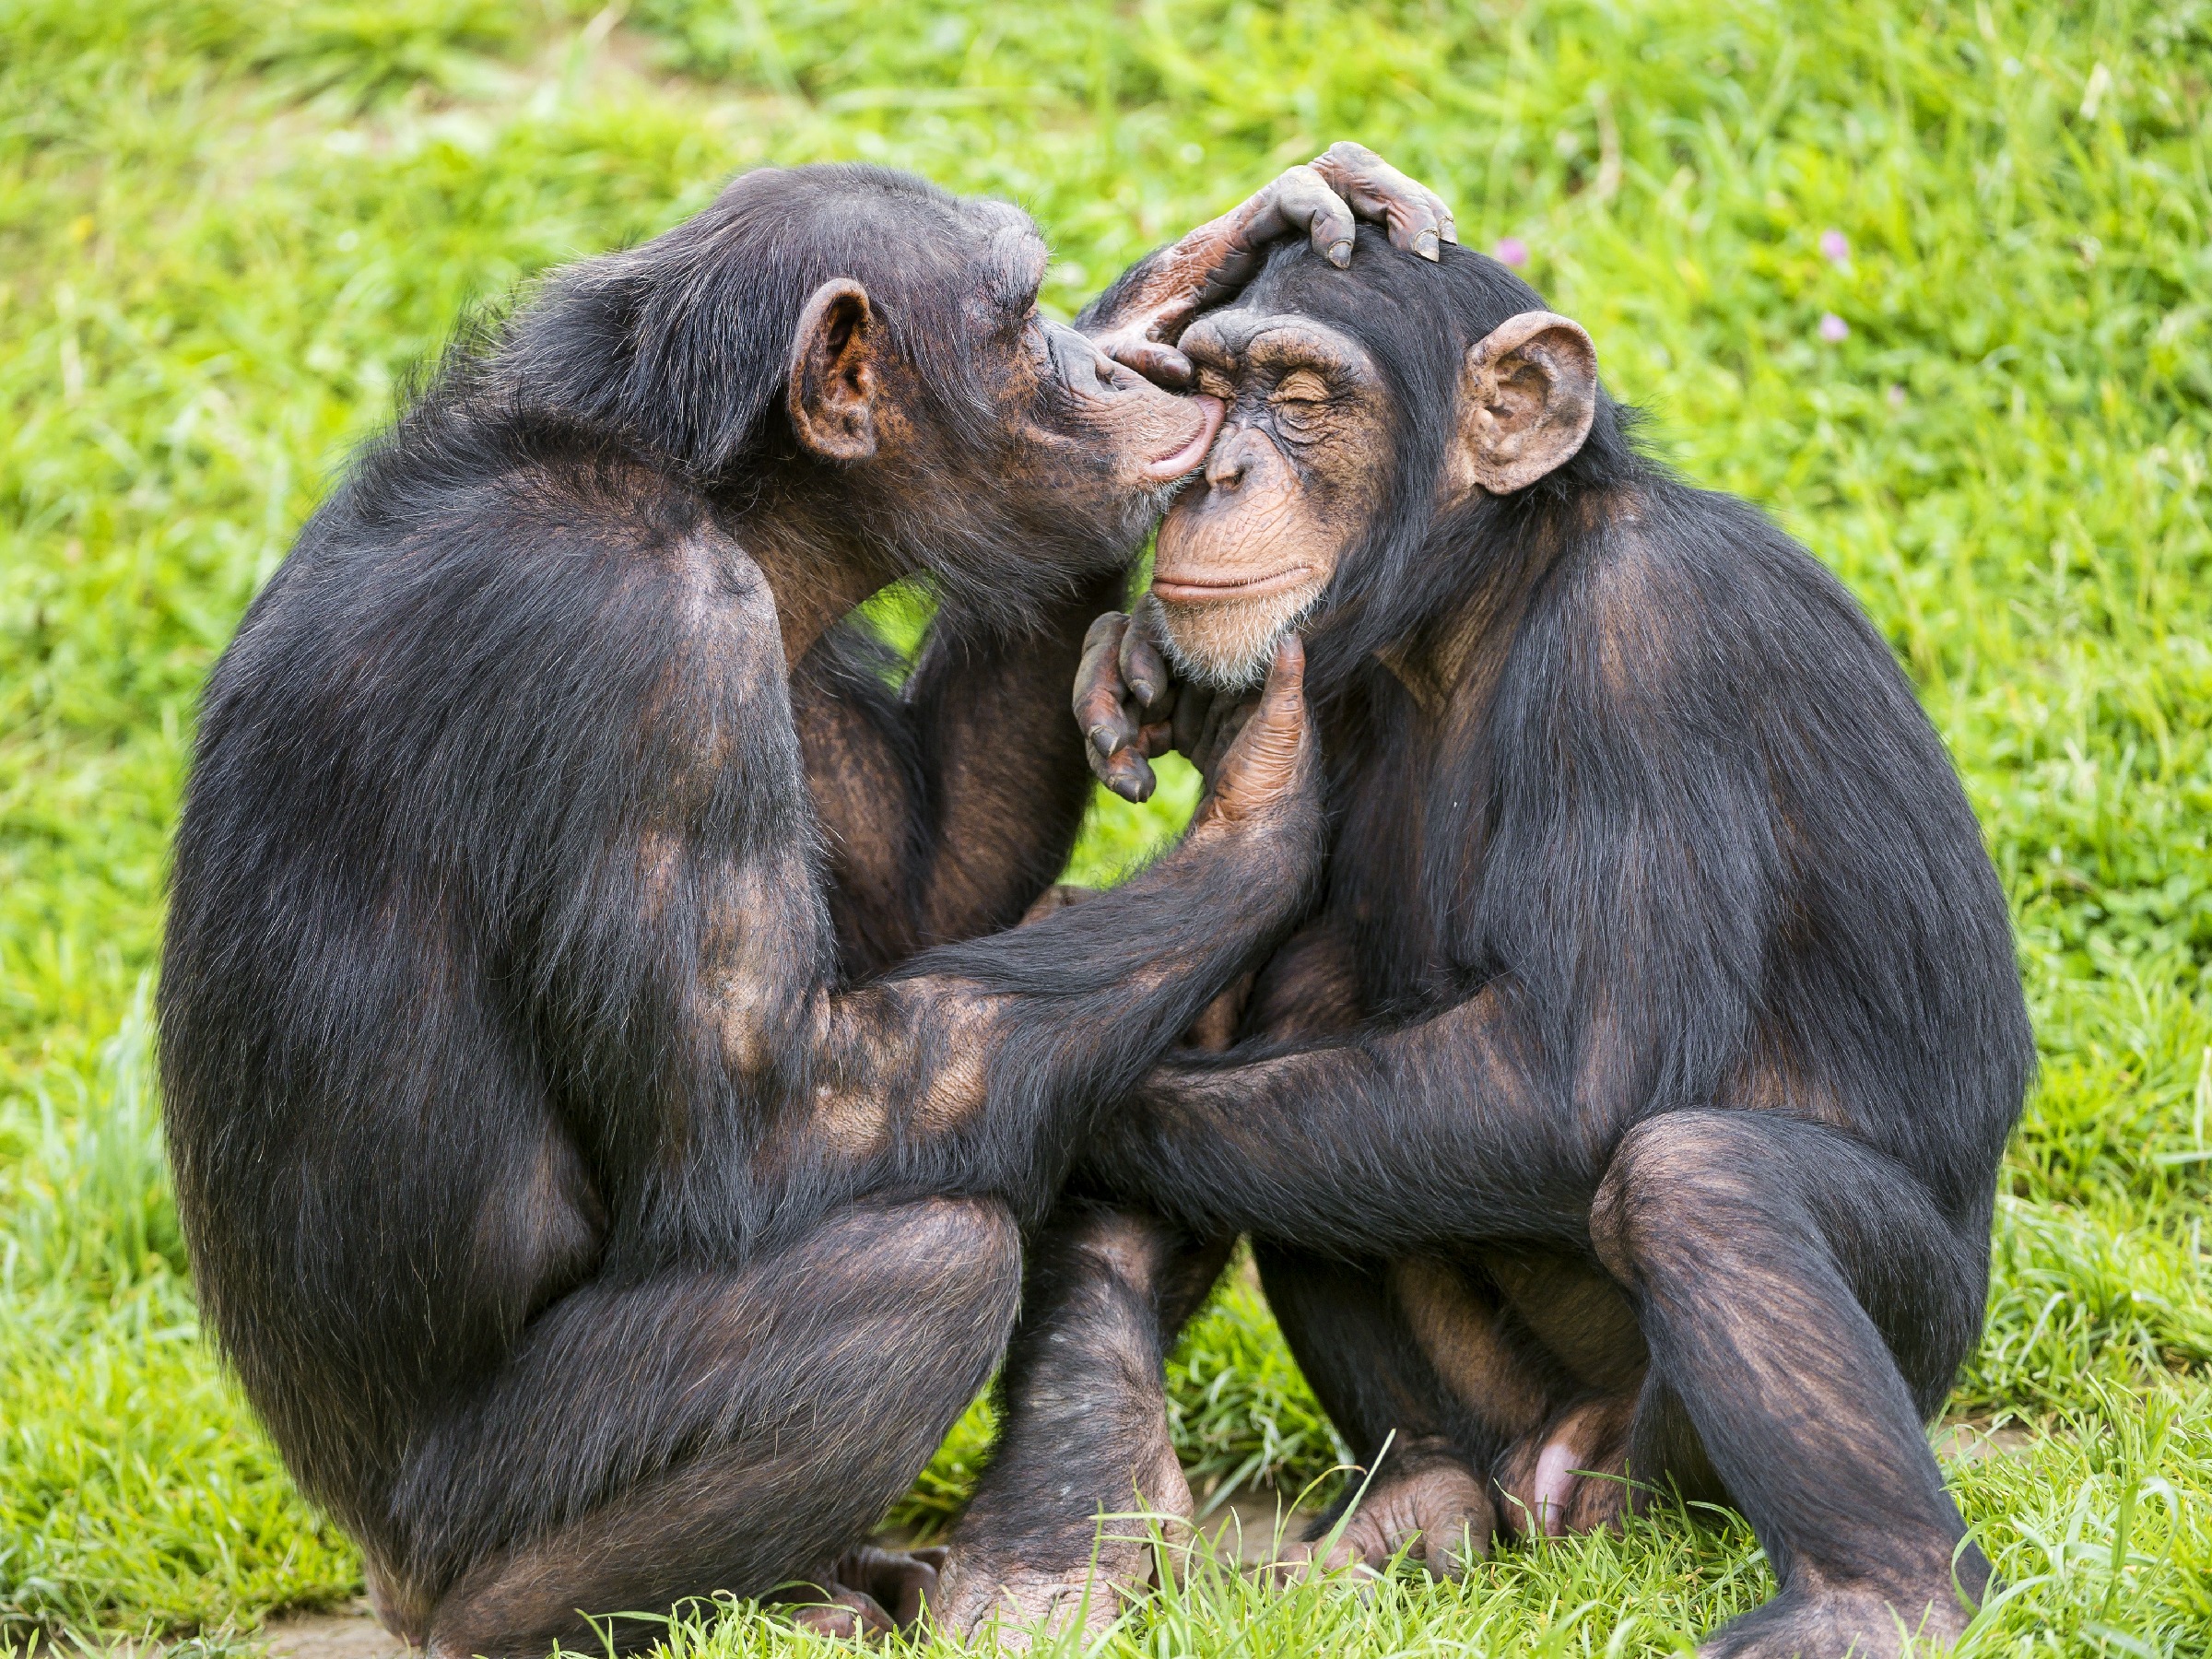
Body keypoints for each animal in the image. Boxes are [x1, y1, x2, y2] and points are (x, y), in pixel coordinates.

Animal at [156, 146, 1451, 1659]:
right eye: (1019, 320)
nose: (1112, 368)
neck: (704, 487)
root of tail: (378, 1565)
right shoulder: (661, 648)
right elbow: (776, 1114)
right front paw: (1264, 803)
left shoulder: (779, 648)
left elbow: (926, 873)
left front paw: (1189, 272)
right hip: (464, 1519)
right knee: (925, 1267)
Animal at [942, 234, 2026, 1659]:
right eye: (1209, 393)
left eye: (1300, 396)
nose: (1213, 474)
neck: (1481, 599)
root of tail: (1563, 1487)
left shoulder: (1648, 648)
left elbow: (1573, 1076)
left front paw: (1023, 1101)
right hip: (1519, 1429)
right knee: (1304, 1054)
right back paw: (1427, 1502)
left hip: (1746, 1430)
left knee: (1702, 1178)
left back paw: (1882, 1600)